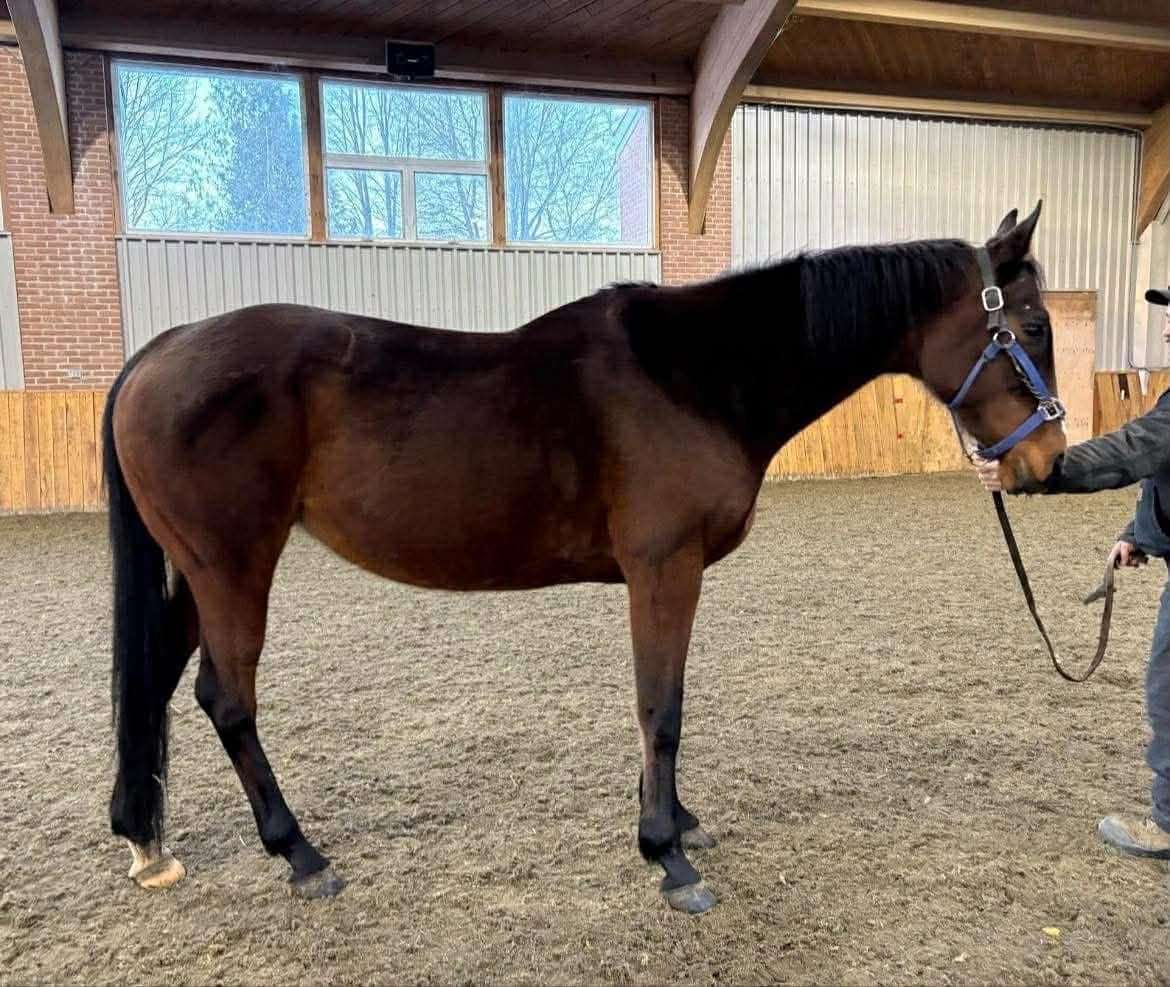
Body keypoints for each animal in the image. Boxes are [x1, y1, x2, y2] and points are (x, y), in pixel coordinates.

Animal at [103, 202, 1061, 914]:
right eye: (1034, 326)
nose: (1046, 460)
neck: (695, 376)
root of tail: (160, 348)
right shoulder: (665, 567)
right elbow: (660, 708)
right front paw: (667, 856)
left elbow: (662, 705)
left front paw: (677, 821)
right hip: (233, 565)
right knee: (226, 699)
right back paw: (300, 853)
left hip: (197, 572)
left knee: (157, 681)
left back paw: (147, 840)